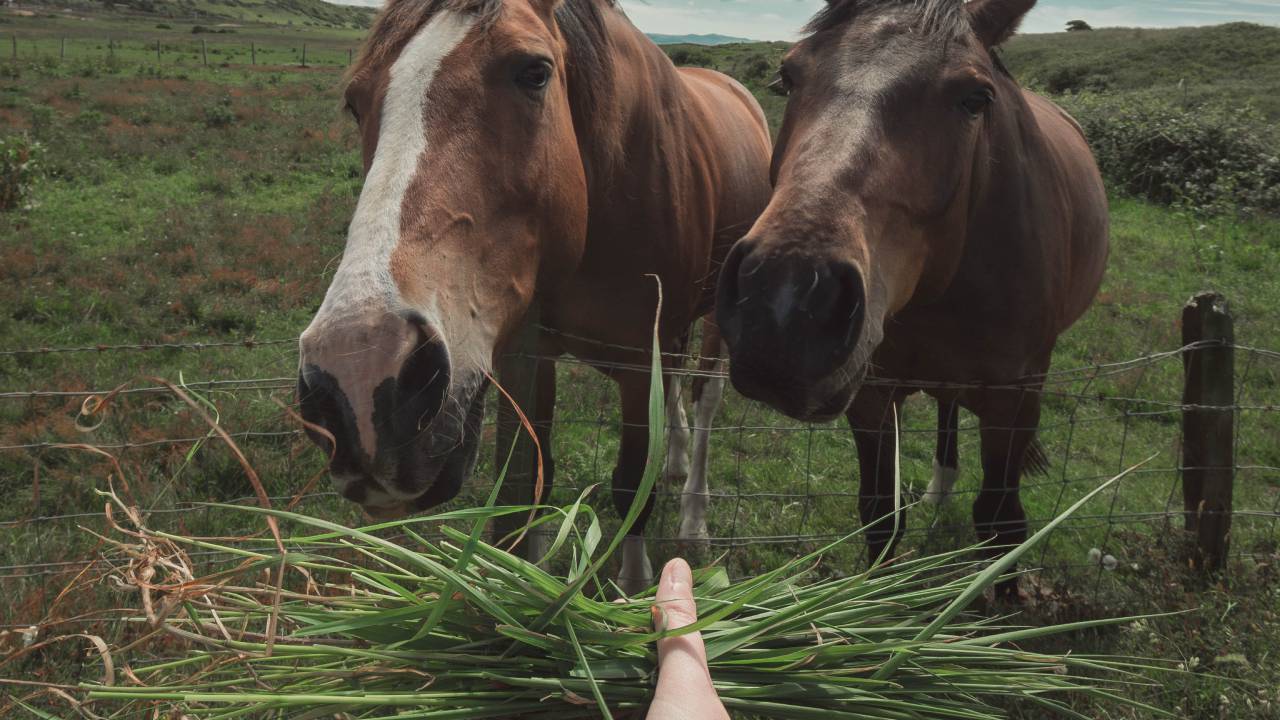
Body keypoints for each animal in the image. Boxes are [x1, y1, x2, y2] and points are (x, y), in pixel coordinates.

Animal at [295, 0, 772, 593]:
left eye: (534, 72)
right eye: (355, 102)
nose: (358, 379)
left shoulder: (640, 363)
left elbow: (632, 483)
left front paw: (635, 586)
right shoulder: (535, 354)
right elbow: (536, 480)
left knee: (706, 399)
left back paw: (694, 519)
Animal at [716, 0, 1109, 597]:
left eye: (976, 98)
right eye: (787, 77)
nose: (785, 303)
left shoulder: (1015, 402)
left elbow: (1002, 524)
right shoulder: (872, 397)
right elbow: (880, 514)